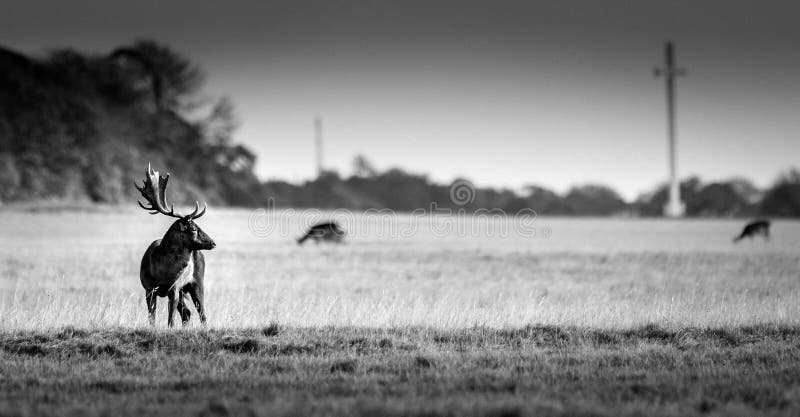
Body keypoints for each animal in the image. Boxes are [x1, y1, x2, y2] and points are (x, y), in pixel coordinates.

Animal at [136, 164, 216, 327]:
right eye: (193, 228)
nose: (212, 242)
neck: (161, 272)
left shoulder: (174, 288)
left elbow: (170, 319)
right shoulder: (148, 288)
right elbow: (152, 317)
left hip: (197, 282)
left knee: (202, 313)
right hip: (183, 289)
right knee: (187, 313)